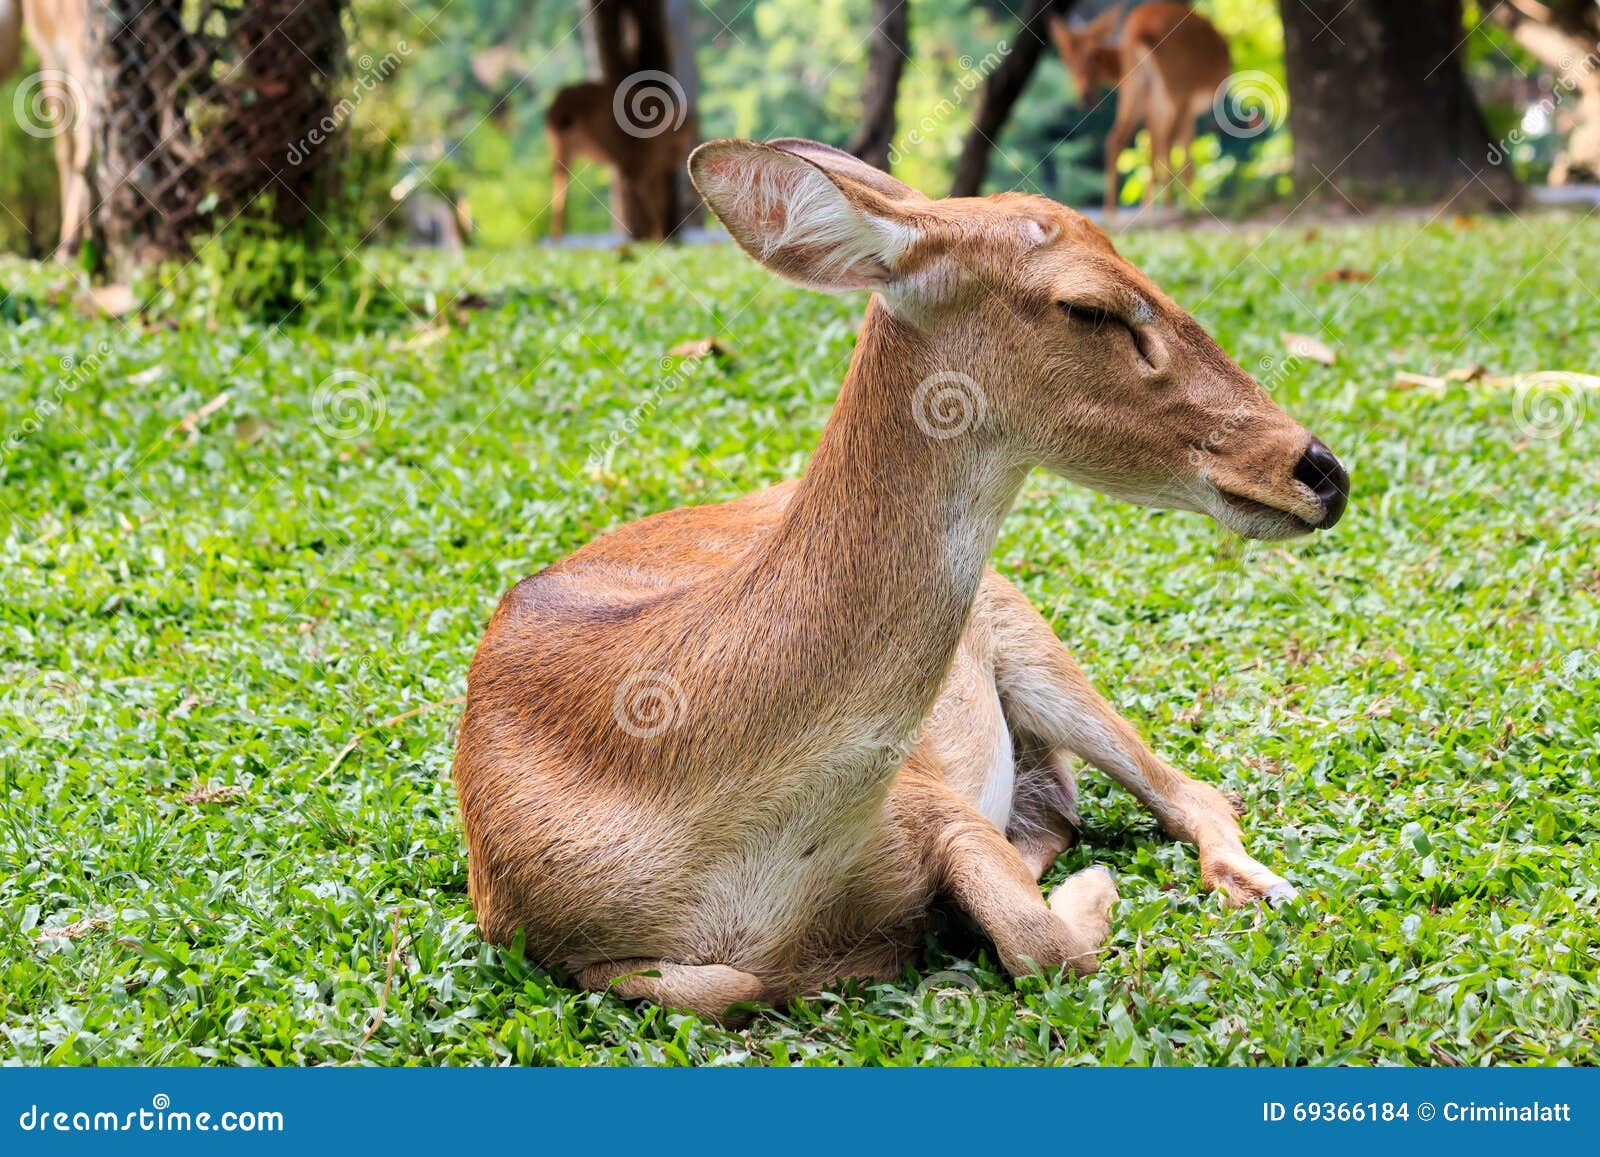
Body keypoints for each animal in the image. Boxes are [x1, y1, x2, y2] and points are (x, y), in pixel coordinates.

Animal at [455, 138, 1350, 1021]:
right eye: (1089, 307)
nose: (1321, 470)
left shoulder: (926, 797)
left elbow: (1040, 938)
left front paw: (1067, 896)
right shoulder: (528, 926)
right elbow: (721, 985)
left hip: (1027, 631)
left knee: (1191, 791)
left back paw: (1254, 884)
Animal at [545, 80, 694, 241]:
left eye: (689, 131)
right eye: (681, 132)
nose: (684, 149)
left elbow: (658, 201)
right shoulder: (638, 171)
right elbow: (652, 202)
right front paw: (655, 238)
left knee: (560, 191)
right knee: (561, 191)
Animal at [1050, 2, 1232, 217]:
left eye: (1093, 54)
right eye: (1066, 60)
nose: (1084, 96)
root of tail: (1140, 30)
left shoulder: (1158, 109)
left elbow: (1157, 150)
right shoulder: (1181, 108)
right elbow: (1181, 154)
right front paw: (1184, 205)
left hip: (1136, 93)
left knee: (1116, 139)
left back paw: (1113, 212)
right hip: (1173, 92)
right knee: (1165, 144)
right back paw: (1168, 208)